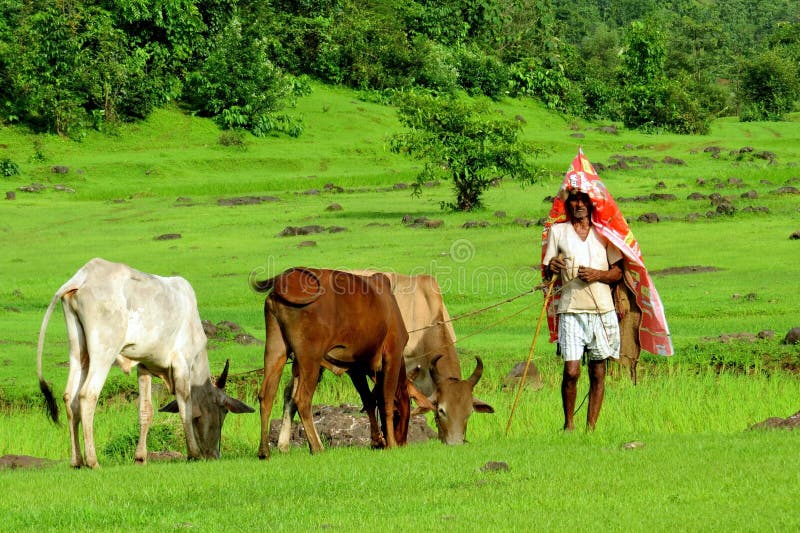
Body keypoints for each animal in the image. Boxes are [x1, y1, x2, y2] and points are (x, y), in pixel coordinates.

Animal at [36, 258, 254, 469]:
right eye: (223, 412)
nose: (215, 455)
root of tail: (82, 276)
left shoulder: (144, 366)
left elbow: (146, 411)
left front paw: (140, 457)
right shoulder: (182, 362)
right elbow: (186, 406)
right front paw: (193, 453)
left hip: (79, 353)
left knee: (69, 398)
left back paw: (77, 461)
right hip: (103, 352)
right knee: (87, 395)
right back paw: (92, 461)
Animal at [250, 267, 410, 459]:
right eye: (401, 414)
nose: (403, 442)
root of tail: (284, 280)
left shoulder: (355, 367)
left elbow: (369, 400)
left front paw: (377, 440)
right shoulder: (393, 355)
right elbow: (386, 401)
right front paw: (390, 444)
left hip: (276, 350)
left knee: (267, 396)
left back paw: (264, 451)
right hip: (310, 358)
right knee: (302, 399)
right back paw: (317, 447)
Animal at [275, 271, 494, 448]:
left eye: (469, 412)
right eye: (442, 411)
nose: (455, 443)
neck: (428, 318)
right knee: (291, 394)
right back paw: (285, 444)